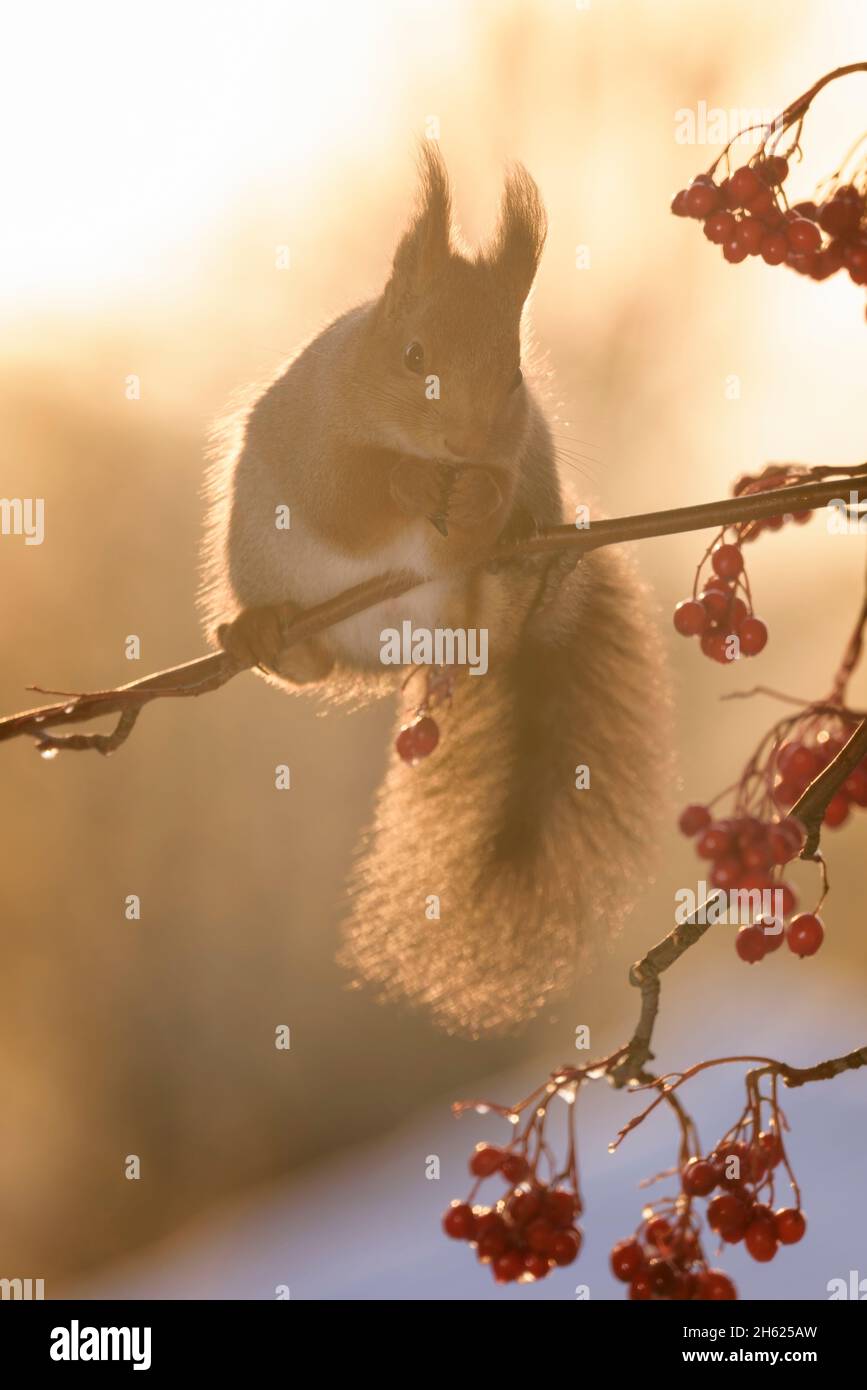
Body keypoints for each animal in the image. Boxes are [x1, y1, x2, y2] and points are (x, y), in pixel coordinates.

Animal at [201, 146, 668, 1037]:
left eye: (516, 375)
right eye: (413, 357)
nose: (467, 439)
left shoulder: (518, 450)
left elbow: (480, 517)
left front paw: (484, 498)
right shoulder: (314, 443)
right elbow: (350, 495)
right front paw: (410, 483)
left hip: (490, 610)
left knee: (489, 613)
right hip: (272, 571)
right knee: (311, 664)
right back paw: (265, 635)